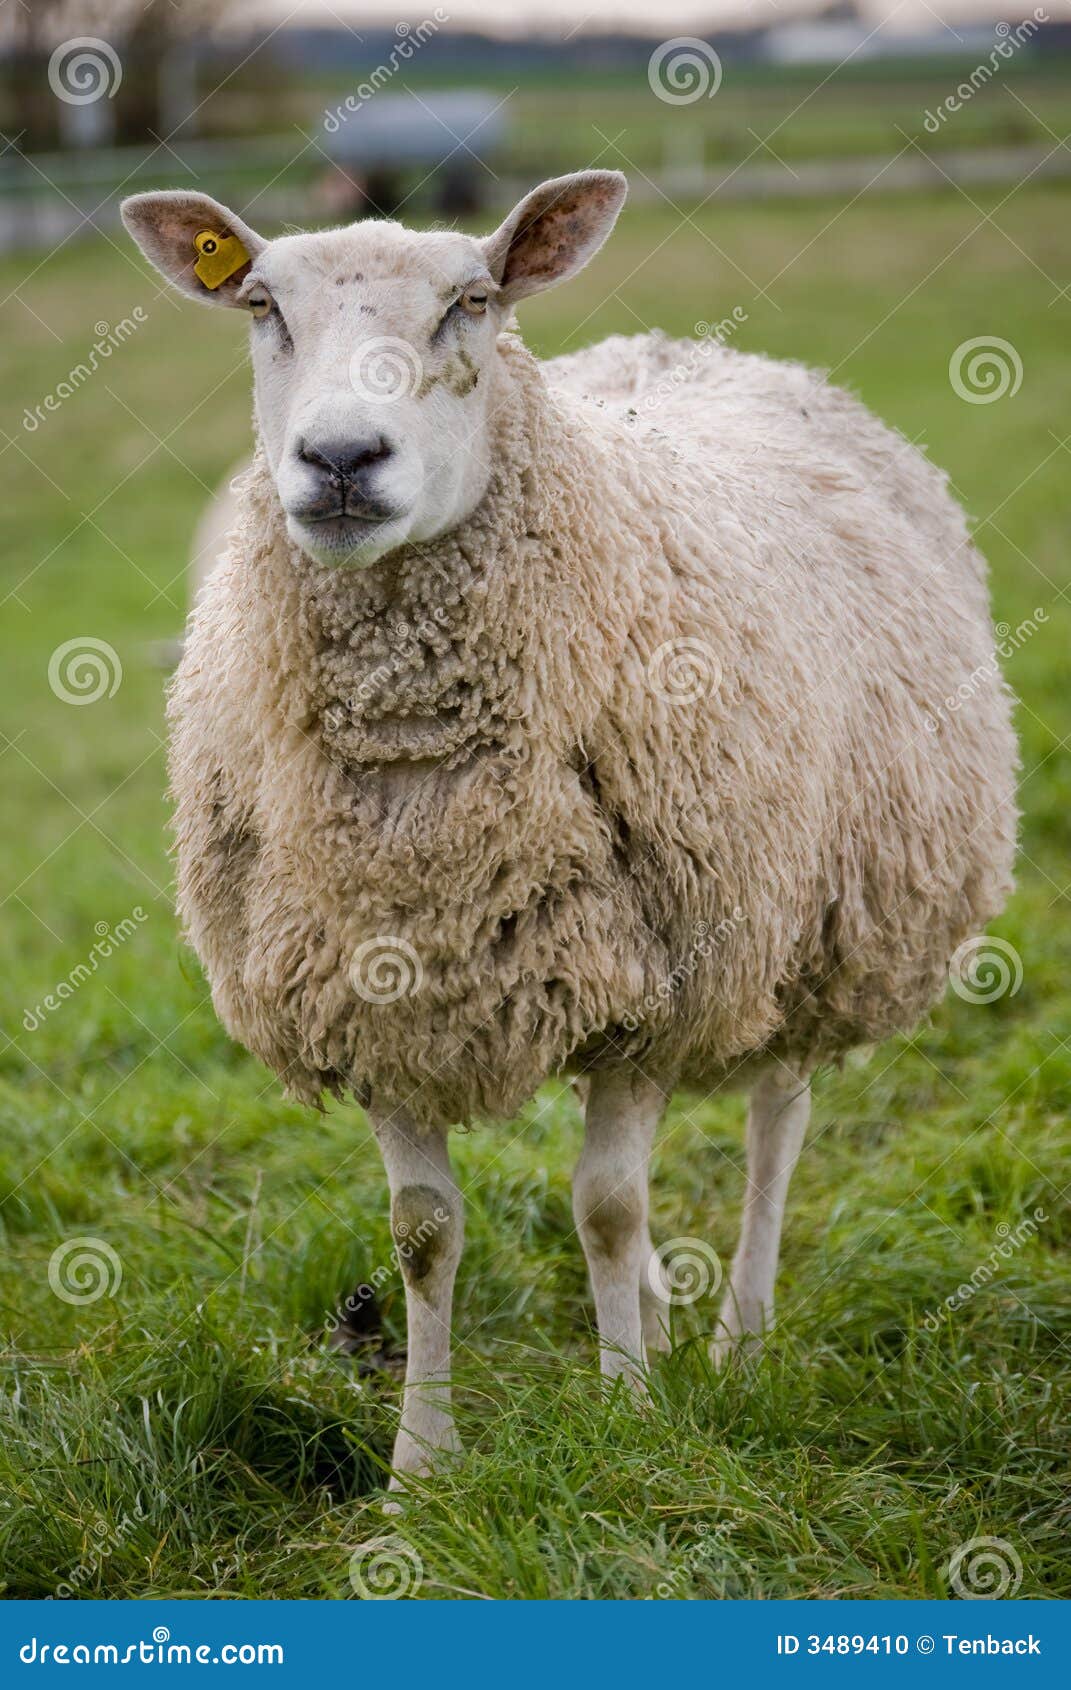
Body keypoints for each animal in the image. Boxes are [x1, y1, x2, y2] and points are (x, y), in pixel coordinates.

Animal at [122, 171, 1018, 1491]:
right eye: (261, 306)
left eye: (472, 301)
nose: (340, 458)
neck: (417, 788)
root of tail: (699, 351)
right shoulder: (372, 992)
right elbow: (424, 1233)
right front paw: (420, 1466)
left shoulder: (664, 978)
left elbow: (605, 1205)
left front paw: (632, 1419)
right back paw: (655, 1312)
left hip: (813, 922)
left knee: (776, 1123)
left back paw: (740, 1339)